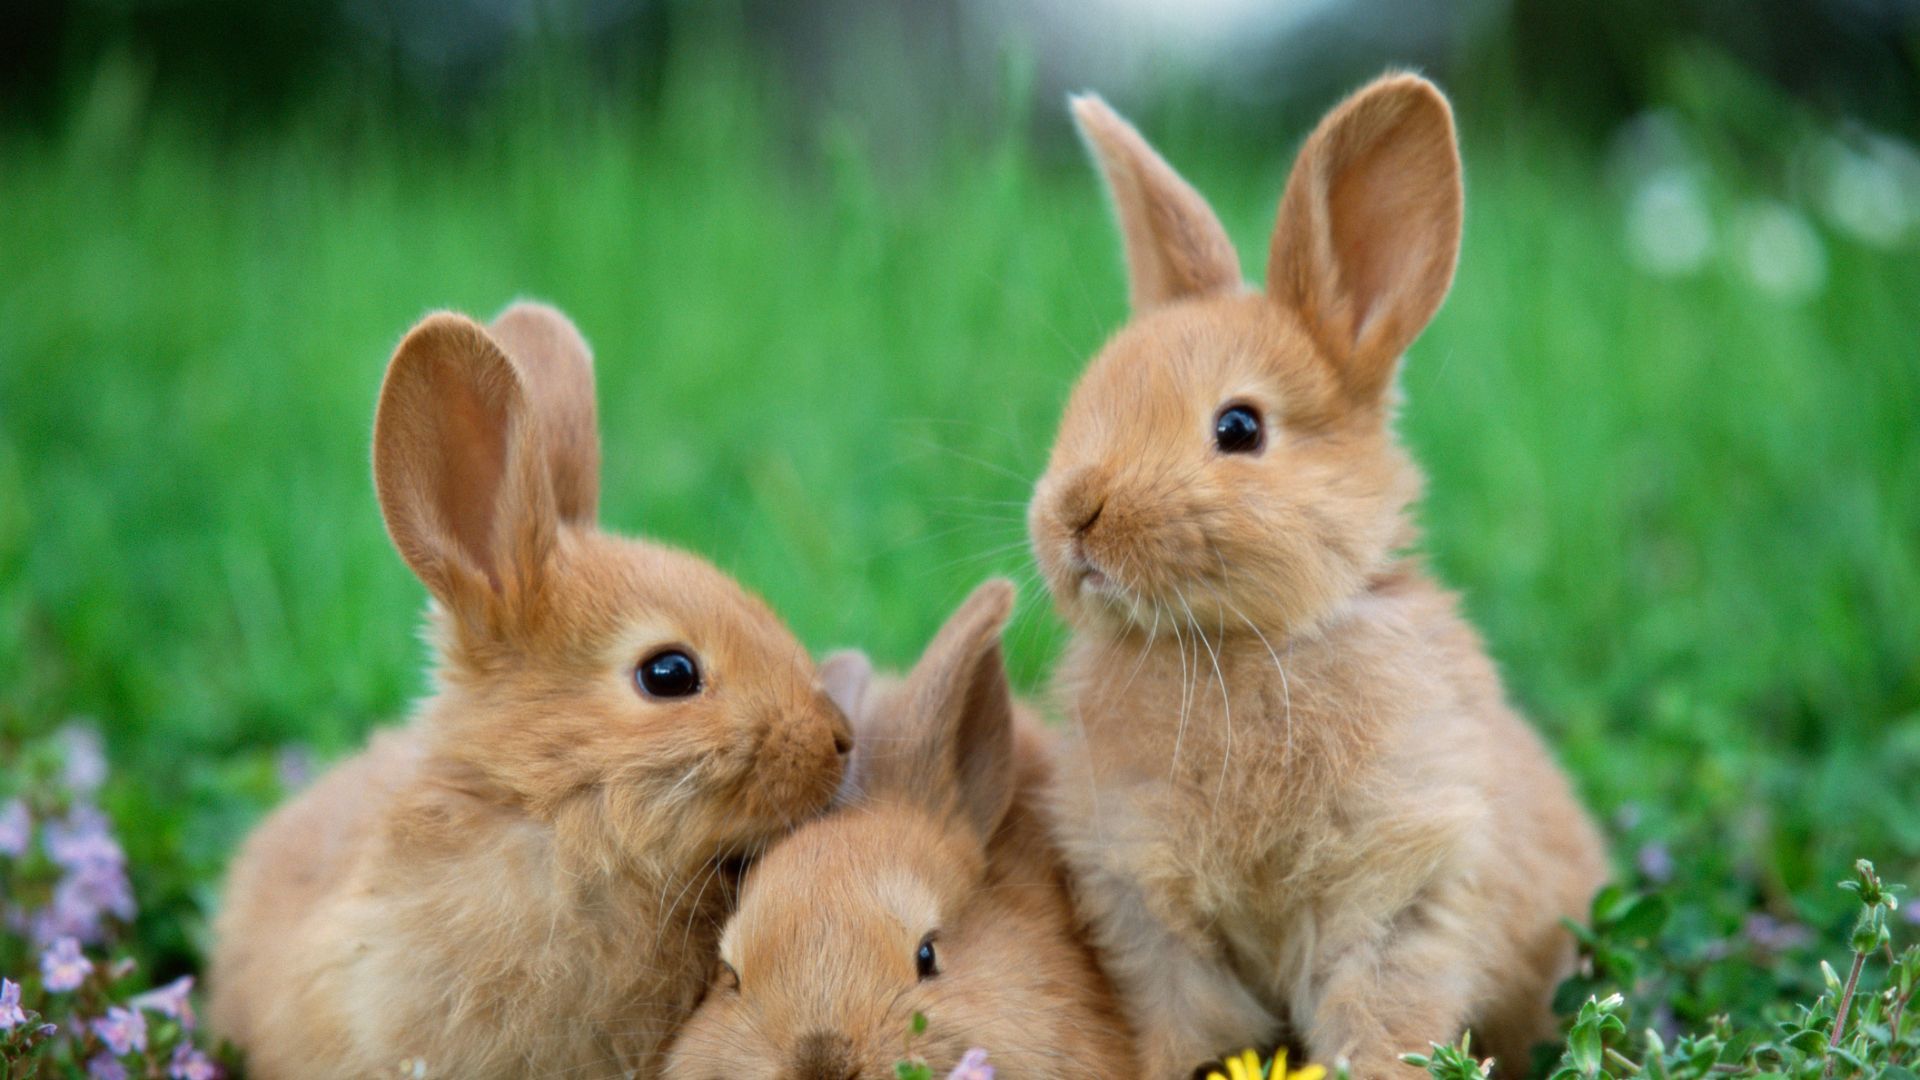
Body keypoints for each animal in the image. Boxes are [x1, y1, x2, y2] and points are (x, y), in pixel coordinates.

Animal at [1024, 74, 1610, 1079]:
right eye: (1086, 401)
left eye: (1239, 428)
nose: (1074, 515)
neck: (1238, 646)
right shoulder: (1150, 913)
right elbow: (1187, 1025)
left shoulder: (1399, 887)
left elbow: (1382, 1020)